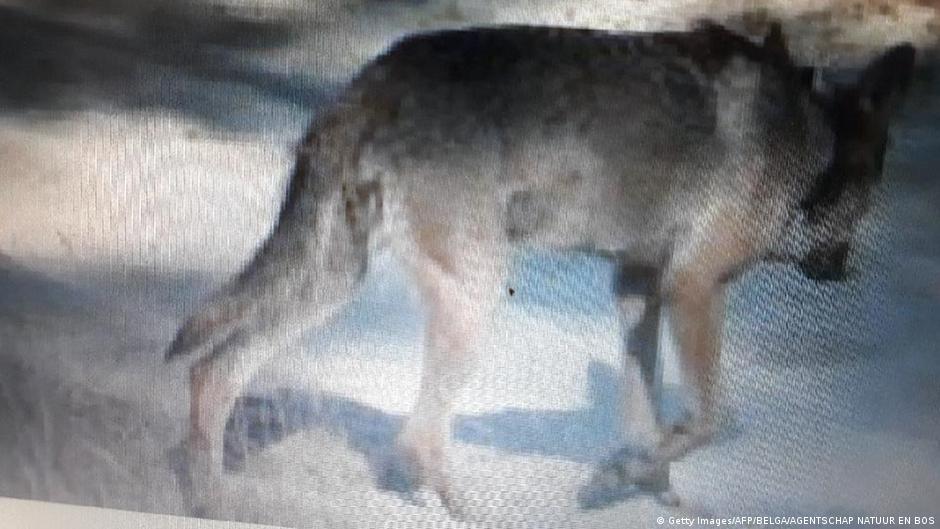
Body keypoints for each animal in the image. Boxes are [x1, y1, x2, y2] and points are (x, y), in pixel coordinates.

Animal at [165, 21, 915, 511]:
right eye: (875, 190)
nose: (843, 271)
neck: (814, 148)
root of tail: (374, 80)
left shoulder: (637, 290)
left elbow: (649, 419)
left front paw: (641, 484)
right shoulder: (693, 289)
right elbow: (711, 419)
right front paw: (618, 480)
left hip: (333, 284)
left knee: (213, 373)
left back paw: (214, 501)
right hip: (471, 298)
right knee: (417, 441)